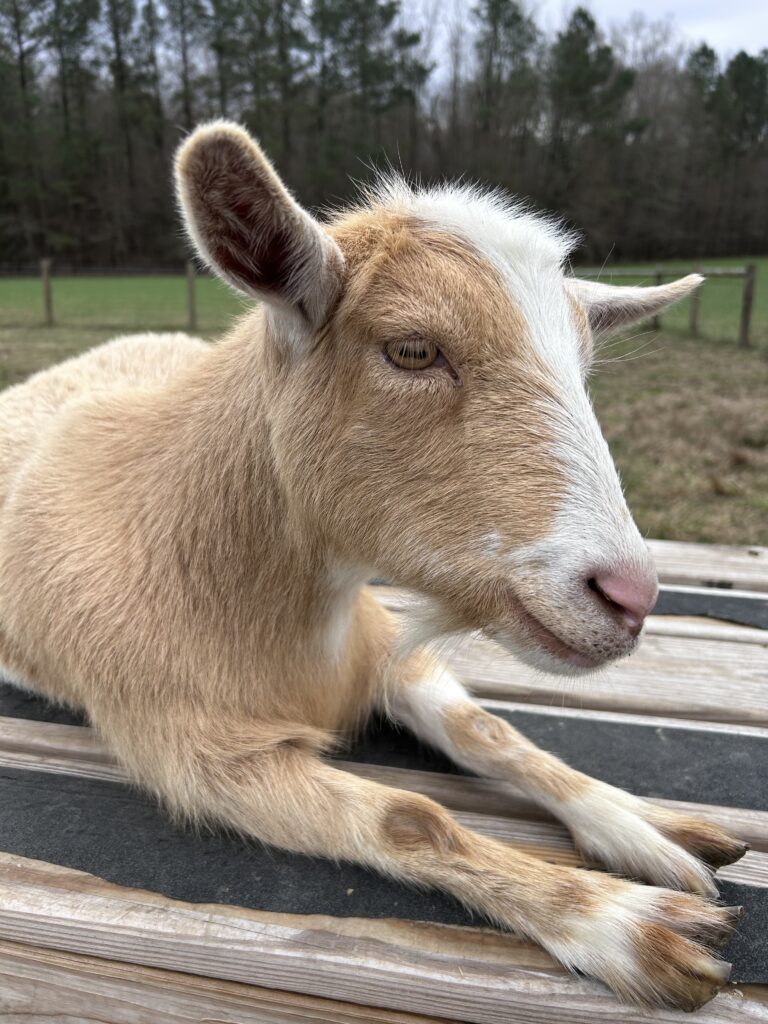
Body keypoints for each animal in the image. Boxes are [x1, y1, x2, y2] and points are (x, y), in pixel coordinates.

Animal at [0, 122, 747, 1009]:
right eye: (414, 349)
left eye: (585, 362)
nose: (629, 596)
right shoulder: (192, 754)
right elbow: (411, 817)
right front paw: (626, 924)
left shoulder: (386, 646)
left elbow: (488, 730)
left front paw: (642, 827)